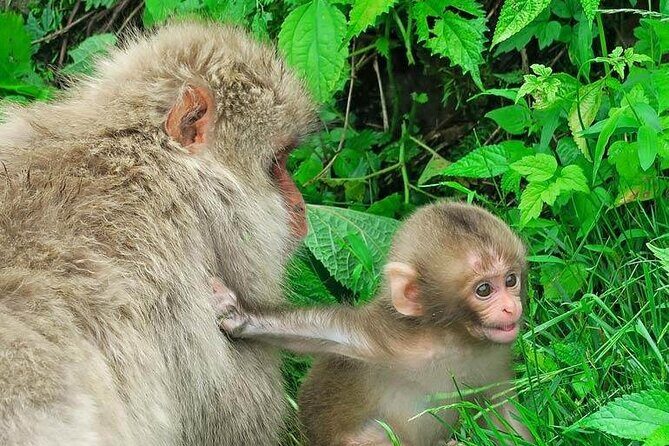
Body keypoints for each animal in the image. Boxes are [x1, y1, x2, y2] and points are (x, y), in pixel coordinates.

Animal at [217, 202, 535, 445]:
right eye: (484, 290)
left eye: (510, 280)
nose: (510, 307)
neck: (452, 341)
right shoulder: (388, 340)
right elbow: (329, 332)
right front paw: (241, 317)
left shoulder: (493, 359)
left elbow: (504, 414)